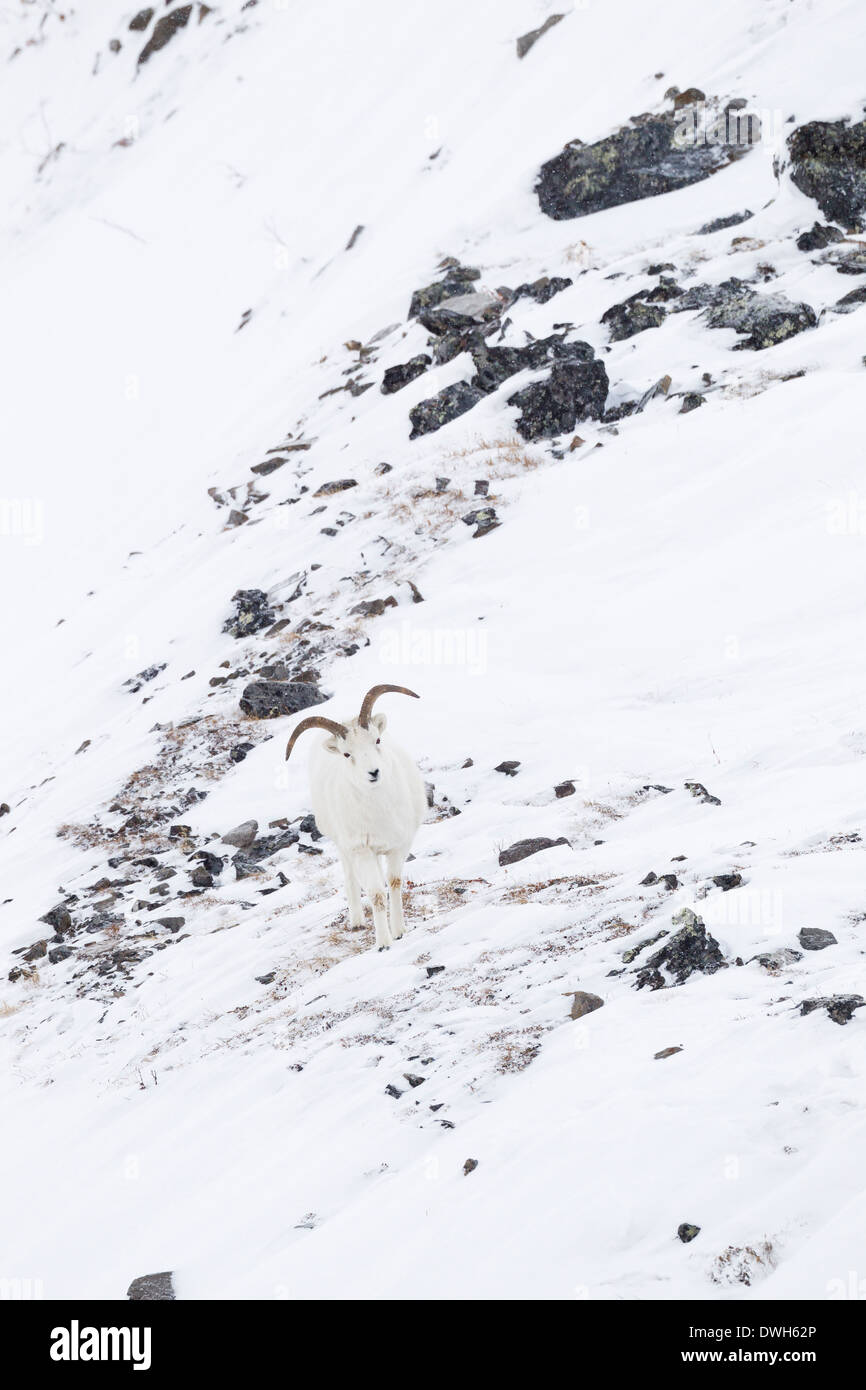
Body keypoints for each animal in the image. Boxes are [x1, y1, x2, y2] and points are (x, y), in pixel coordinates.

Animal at [285, 685, 427, 949]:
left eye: (377, 740)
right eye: (346, 754)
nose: (373, 772)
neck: (379, 811)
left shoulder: (399, 846)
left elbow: (393, 884)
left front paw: (399, 932)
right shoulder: (362, 851)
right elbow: (376, 894)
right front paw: (383, 944)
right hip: (345, 849)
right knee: (351, 878)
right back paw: (357, 922)